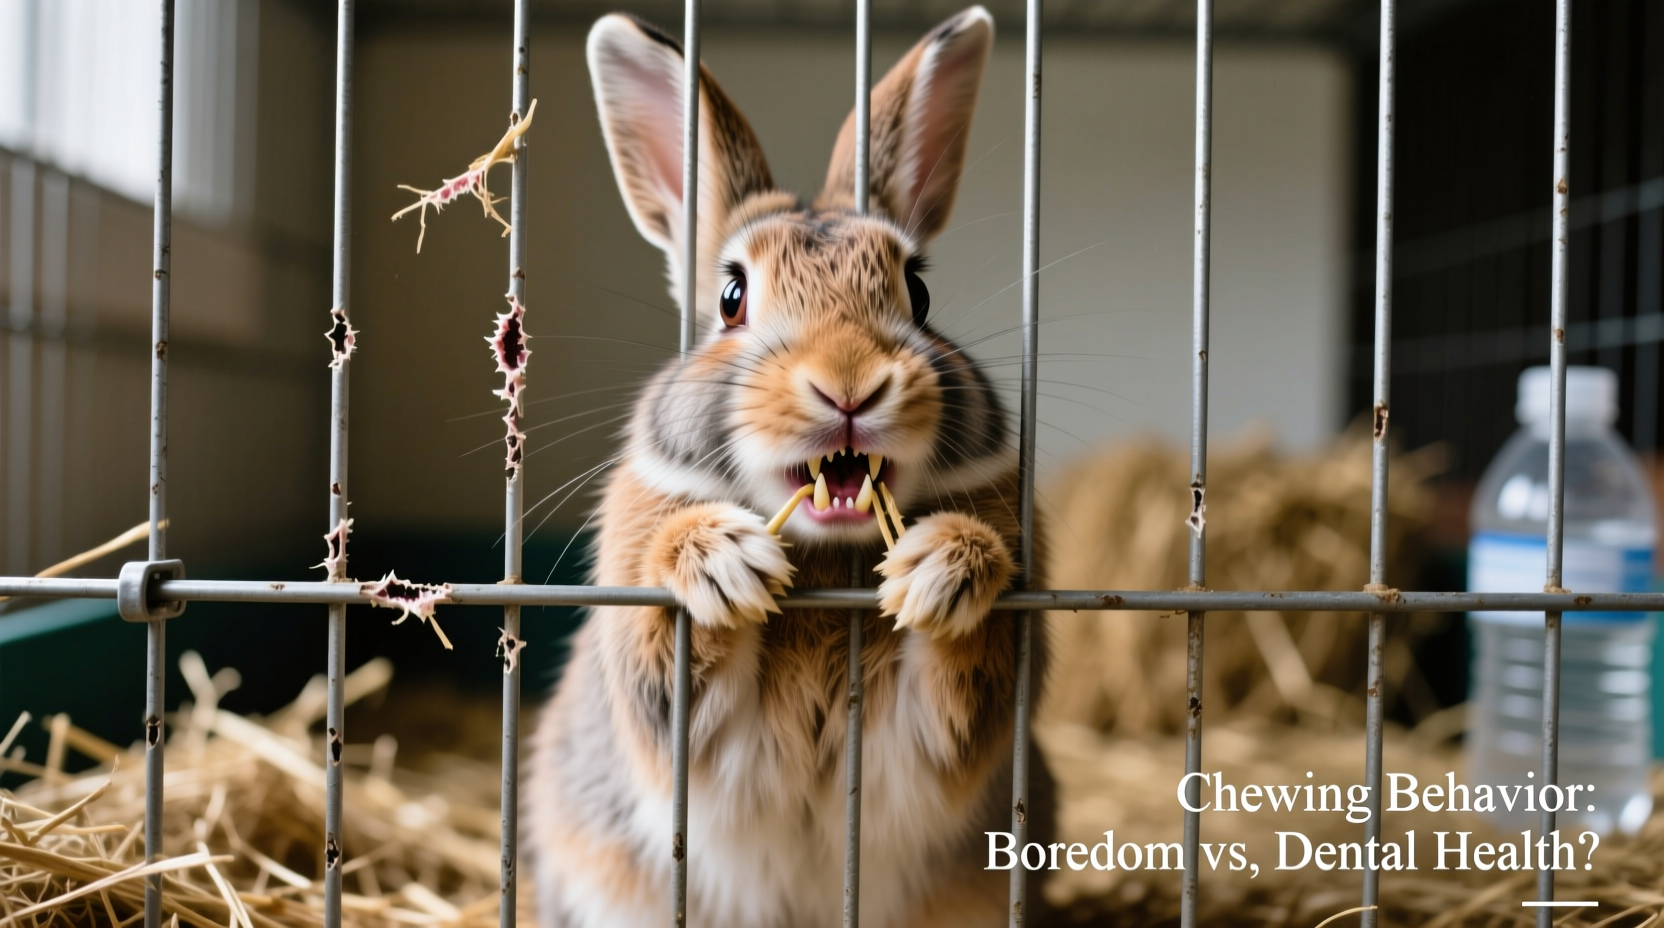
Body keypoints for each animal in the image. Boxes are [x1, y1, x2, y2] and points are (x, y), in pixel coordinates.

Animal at [527, 7, 1054, 927]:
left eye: (918, 294)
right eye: (732, 297)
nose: (849, 383)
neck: (826, 550)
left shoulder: (960, 716)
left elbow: (960, 693)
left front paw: (942, 571)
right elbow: (672, 659)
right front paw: (725, 563)